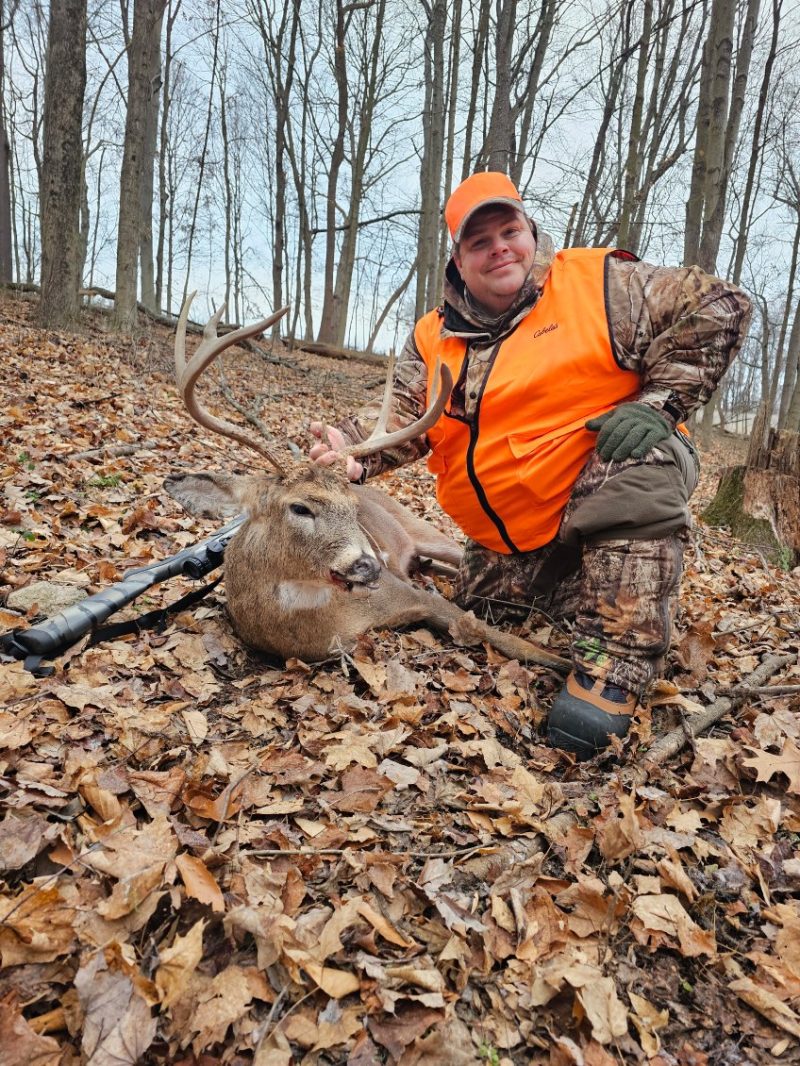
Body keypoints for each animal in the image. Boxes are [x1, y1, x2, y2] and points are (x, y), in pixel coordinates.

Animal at [164, 295, 569, 672]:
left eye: (353, 509)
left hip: (426, 531)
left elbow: (500, 636)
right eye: (299, 507)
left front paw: (568, 665)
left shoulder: (407, 594)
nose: (368, 565)